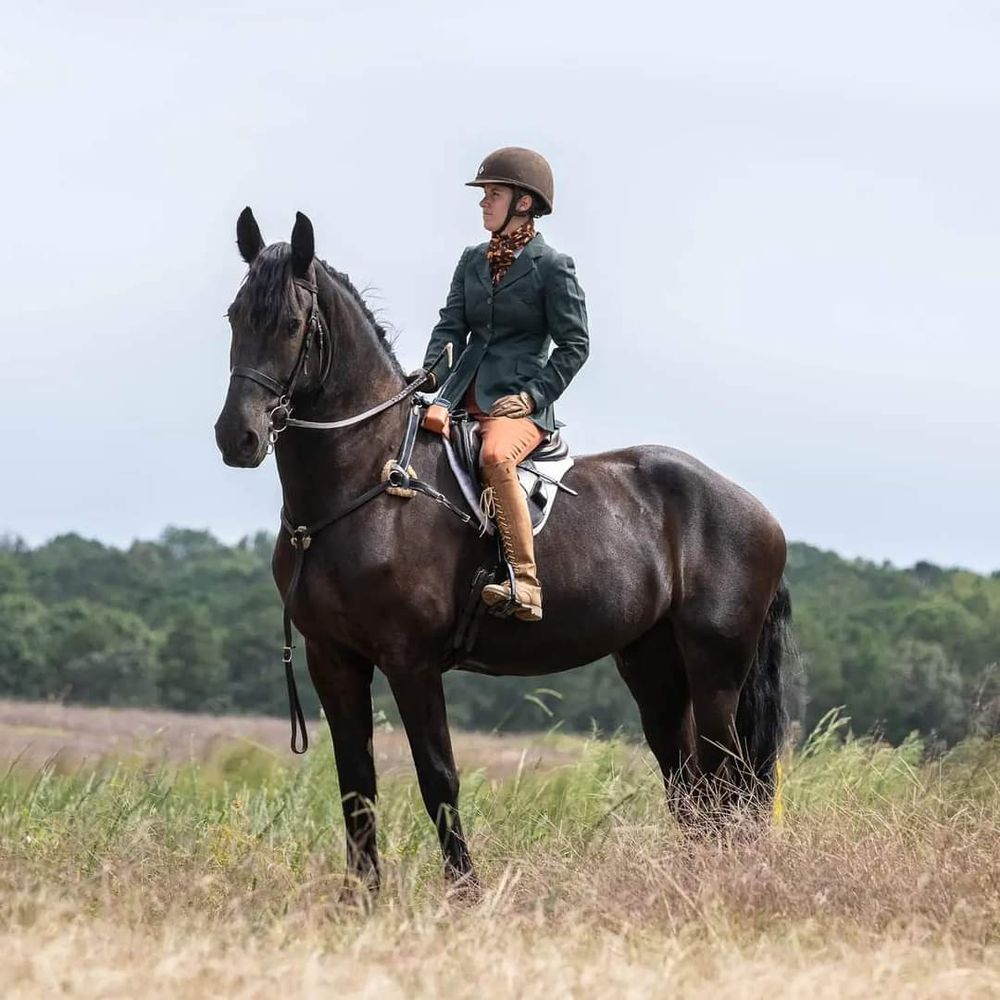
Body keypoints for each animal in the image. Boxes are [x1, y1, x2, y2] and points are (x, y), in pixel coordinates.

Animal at [214, 208, 791, 892]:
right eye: (234, 315)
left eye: (290, 323)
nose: (237, 437)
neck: (366, 480)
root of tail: (756, 509)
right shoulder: (333, 658)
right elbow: (356, 785)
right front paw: (359, 900)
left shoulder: (410, 660)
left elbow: (438, 777)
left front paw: (464, 893)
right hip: (654, 666)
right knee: (690, 786)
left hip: (716, 670)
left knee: (728, 782)